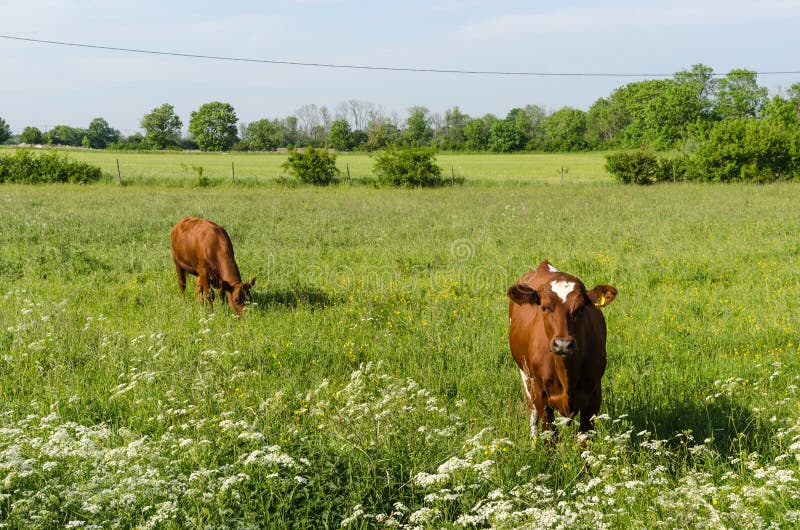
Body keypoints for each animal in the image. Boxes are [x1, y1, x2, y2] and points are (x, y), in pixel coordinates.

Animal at [507, 260, 617, 442]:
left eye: (581, 308)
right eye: (544, 307)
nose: (563, 344)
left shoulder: (593, 397)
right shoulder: (541, 397)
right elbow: (550, 438)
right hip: (525, 375)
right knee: (532, 414)